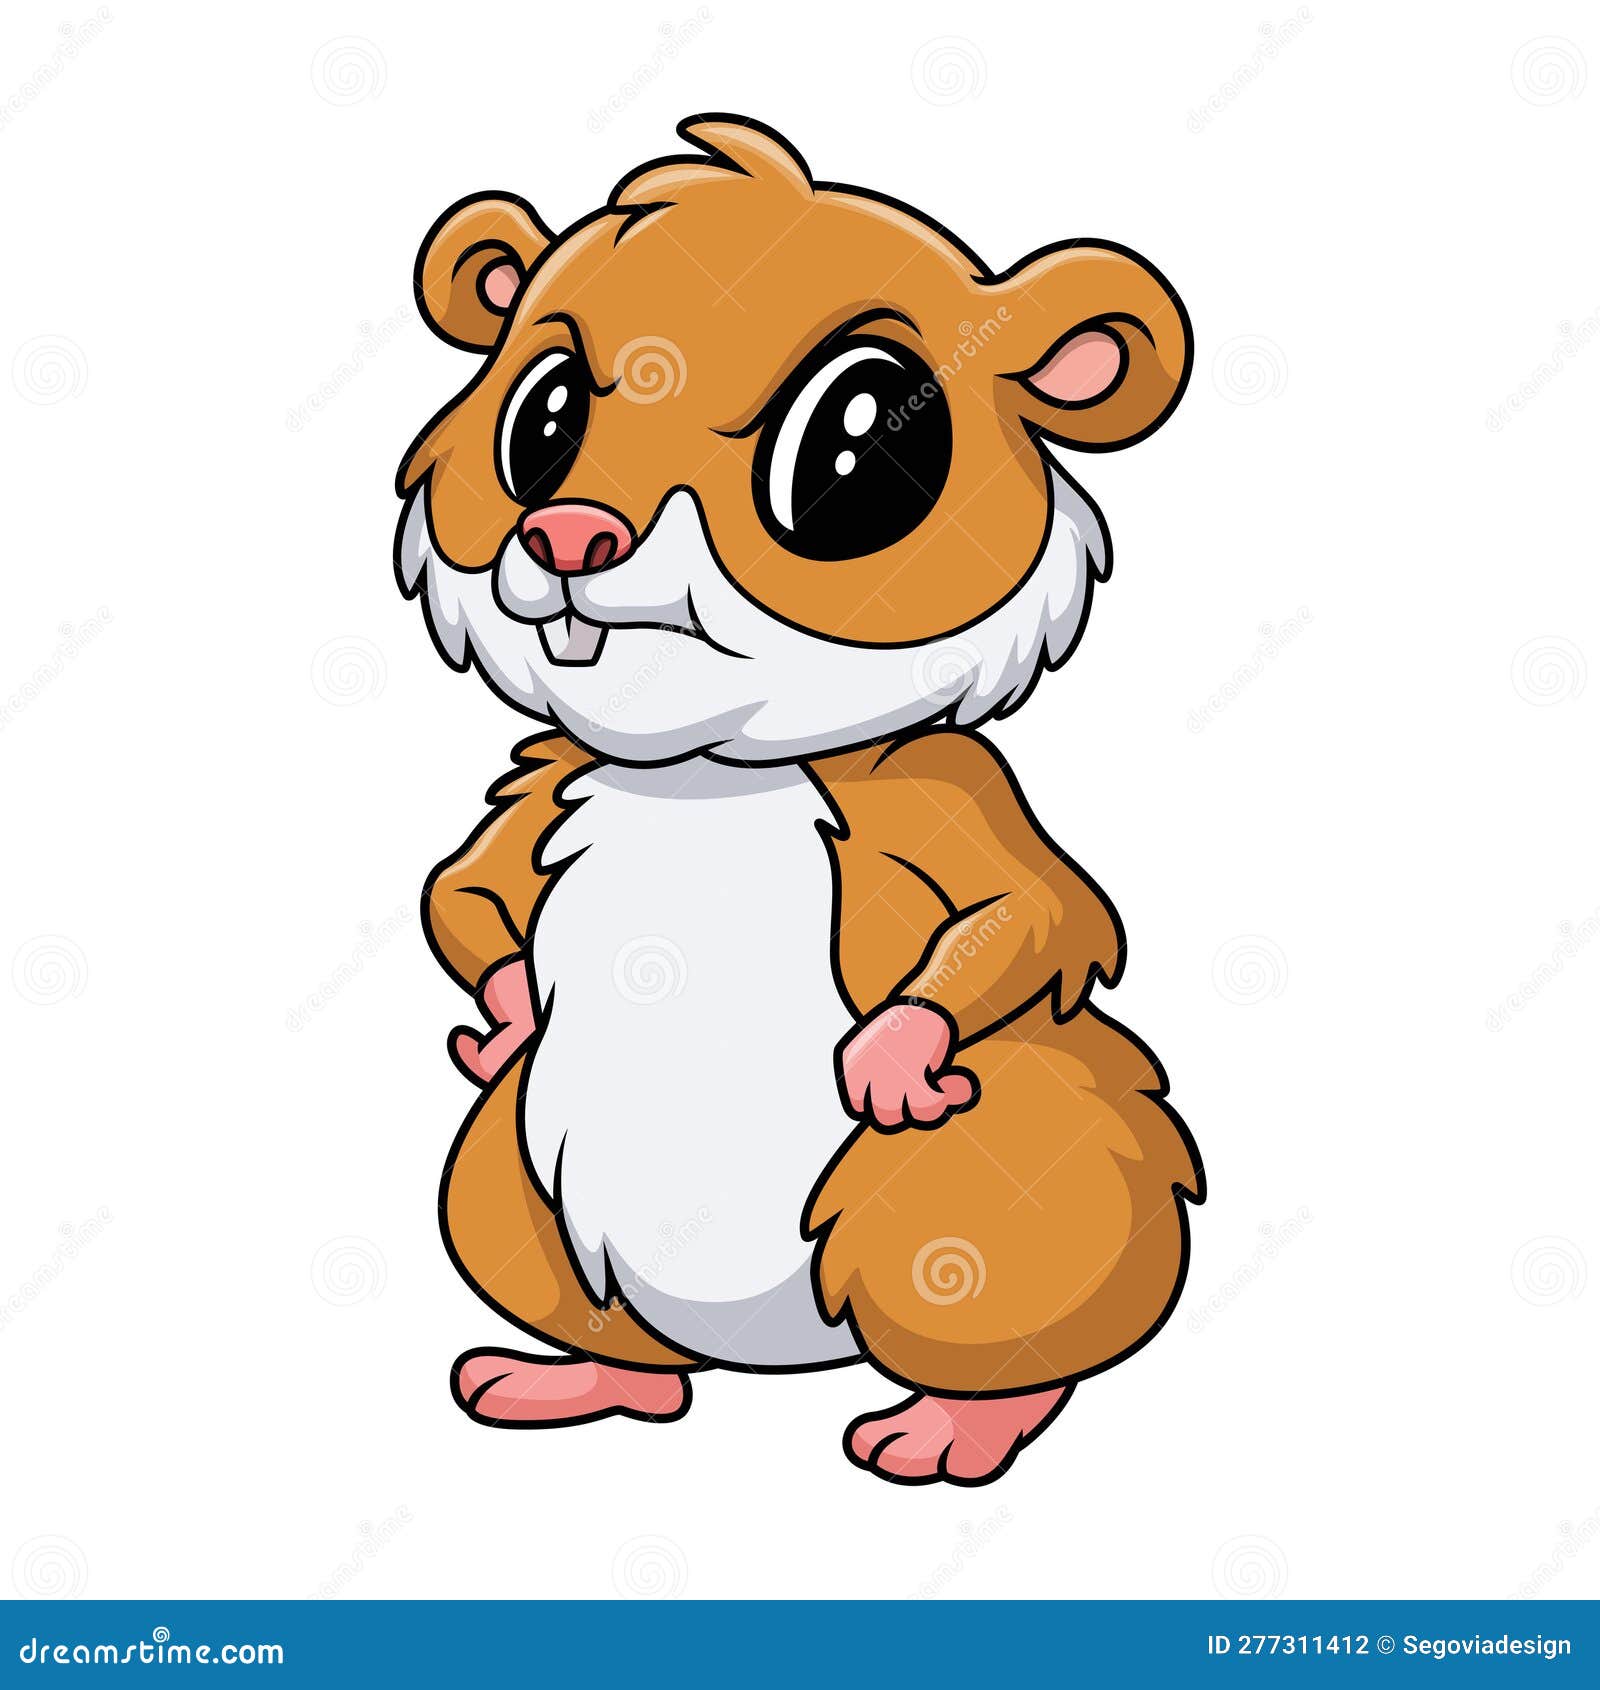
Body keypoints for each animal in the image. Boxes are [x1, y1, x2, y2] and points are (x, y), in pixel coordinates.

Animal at [396, 116, 1202, 1485]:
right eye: (540, 420)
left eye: (857, 444)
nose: (568, 532)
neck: (709, 768)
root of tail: (777, 1355)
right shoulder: (546, 775)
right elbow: (466, 890)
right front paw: (504, 1012)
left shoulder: (943, 790)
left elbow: (1031, 908)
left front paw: (893, 1051)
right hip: (512, 1185)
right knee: (620, 1335)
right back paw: (576, 1377)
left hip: (968, 1197)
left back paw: (955, 1425)